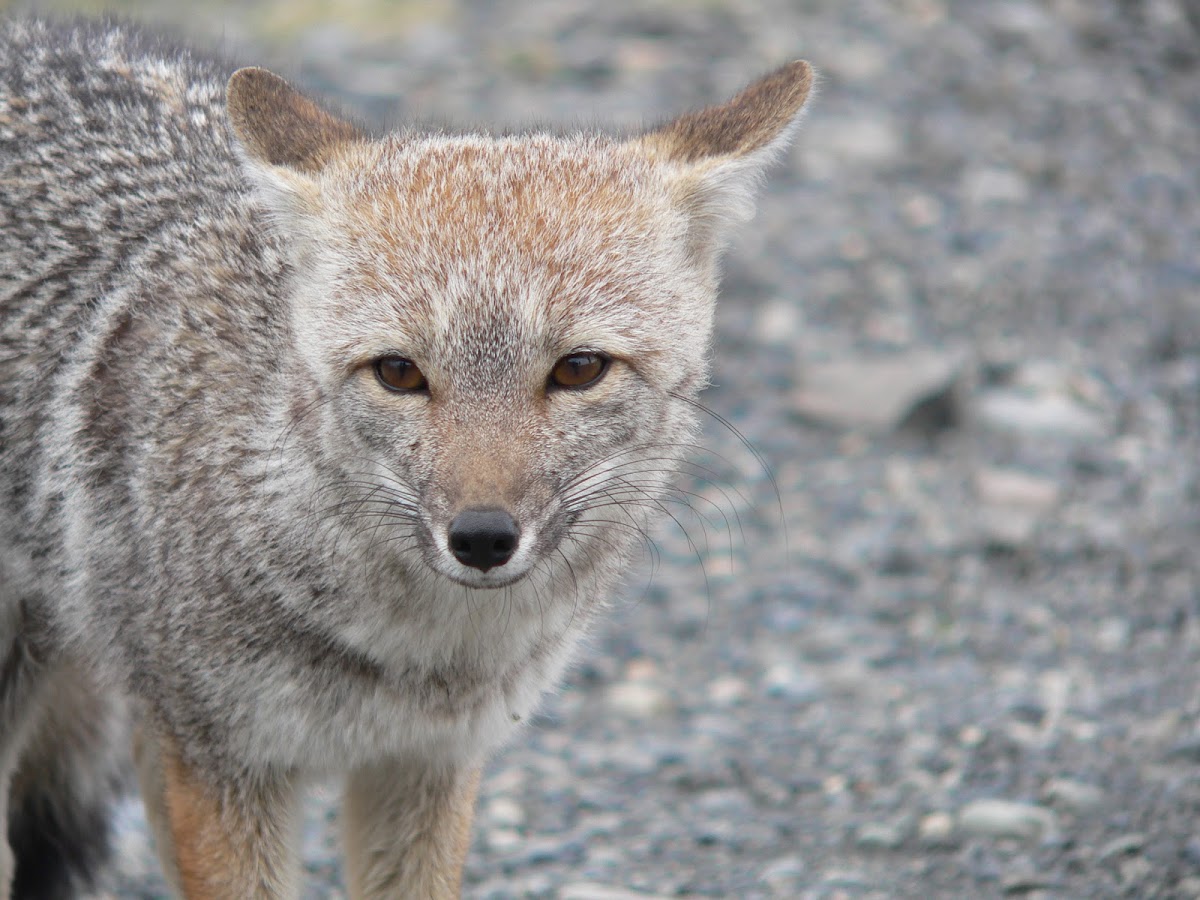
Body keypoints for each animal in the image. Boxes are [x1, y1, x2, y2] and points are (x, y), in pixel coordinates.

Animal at [0, 17, 812, 899]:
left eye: (579, 369)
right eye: (398, 372)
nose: (483, 538)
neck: (414, 657)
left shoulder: (428, 763)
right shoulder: (211, 759)